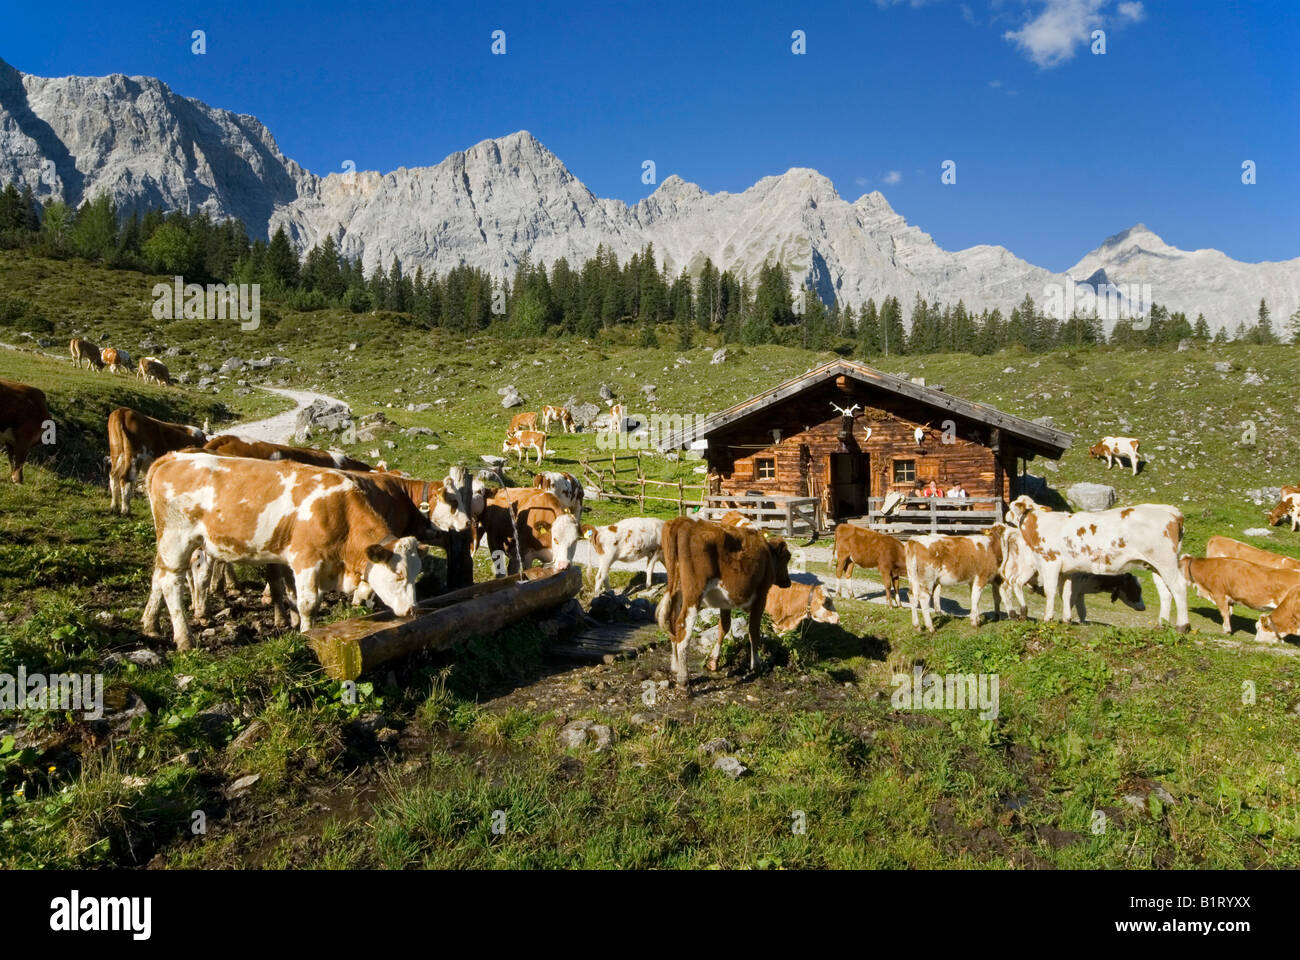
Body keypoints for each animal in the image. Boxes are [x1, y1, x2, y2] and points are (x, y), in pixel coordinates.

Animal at [141, 452, 428, 649]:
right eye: (398, 575)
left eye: (417, 575)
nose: (413, 610)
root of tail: (172, 457)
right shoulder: (306, 559)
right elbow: (309, 603)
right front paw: (307, 633)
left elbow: (290, 593)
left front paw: (292, 622)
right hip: (177, 539)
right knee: (171, 584)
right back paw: (185, 639)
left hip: (167, 543)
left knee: (158, 577)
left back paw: (150, 625)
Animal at [656, 517, 792, 689]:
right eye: (786, 558)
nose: (788, 582)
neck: (768, 554)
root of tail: (684, 521)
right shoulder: (762, 596)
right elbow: (753, 631)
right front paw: (756, 664)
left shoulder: (725, 601)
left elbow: (724, 627)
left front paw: (713, 661)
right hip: (694, 593)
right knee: (682, 626)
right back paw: (683, 679)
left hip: (677, 591)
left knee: (673, 623)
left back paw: (675, 666)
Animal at [1000, 526, 1145, 623]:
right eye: (1136, 589)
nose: (1143, 607)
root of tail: (1016, 533)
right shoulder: (1075, 585)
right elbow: (1069, 601)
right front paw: (1066, 618)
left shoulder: (1079, 590)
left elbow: (1081, 610)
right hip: (1028, 568)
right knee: (1017, 583)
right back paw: (1023, 612)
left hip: (1010, 569)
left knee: (1004, 587)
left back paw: (1012, 614)